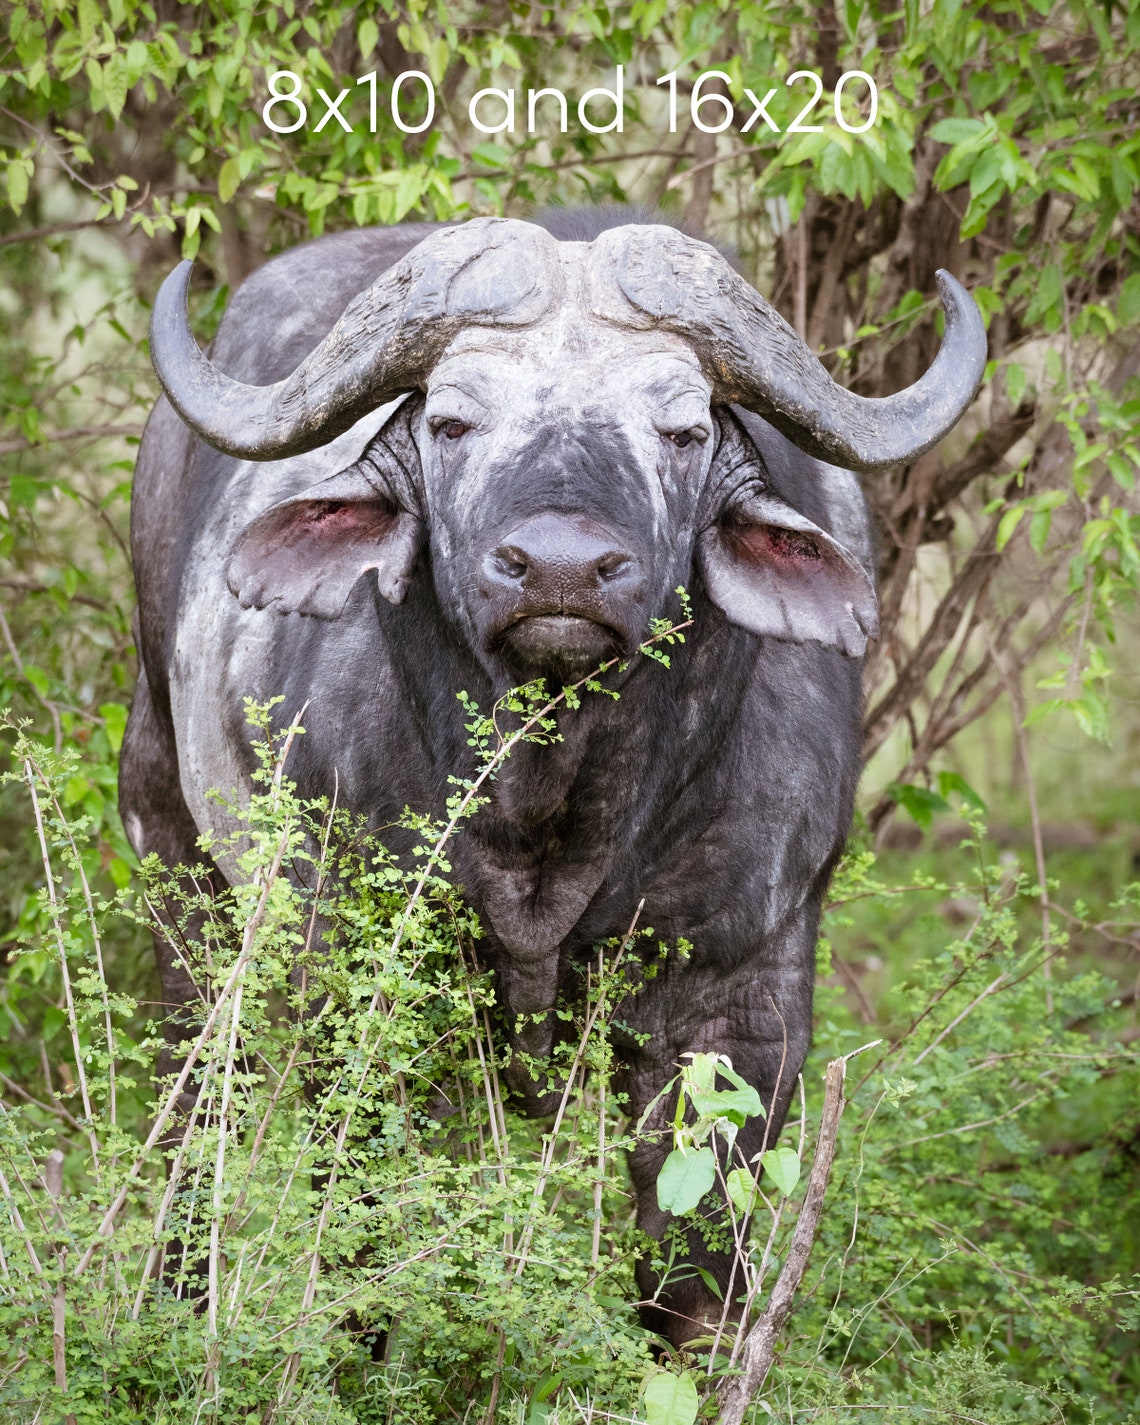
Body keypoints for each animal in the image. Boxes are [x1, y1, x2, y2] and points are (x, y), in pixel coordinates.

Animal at [120, 208, 985, 1345]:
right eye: (451, 424)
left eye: (683, 430)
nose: (562, 569)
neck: (554, 807)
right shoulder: (359, 976)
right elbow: (371, 1210)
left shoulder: (744, 997)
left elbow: (693, 1250)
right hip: (177, 865)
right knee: (196, 1090)